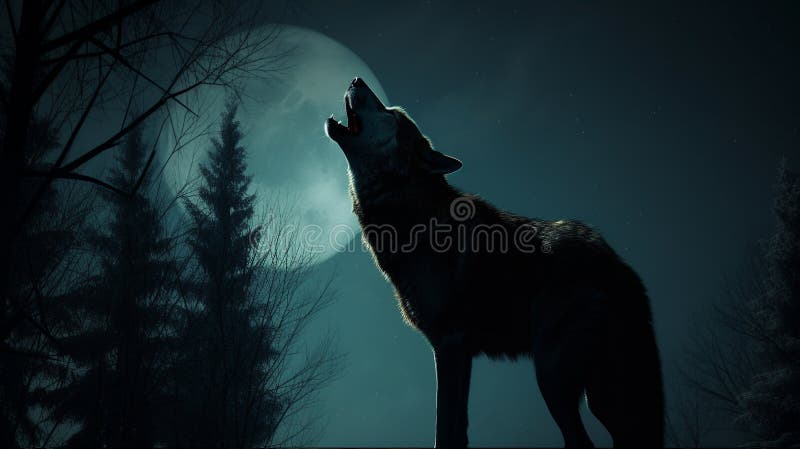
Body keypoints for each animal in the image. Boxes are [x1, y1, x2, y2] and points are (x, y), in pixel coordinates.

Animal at [325, 77, 664, 448]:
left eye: (389, 112)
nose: (357, 79)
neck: (407, 207)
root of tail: (618, 265)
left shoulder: (449, 343)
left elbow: (443, 429)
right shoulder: (460, 353)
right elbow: (458, 432)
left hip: (553, 376)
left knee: (580, 441)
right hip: (601, 396)